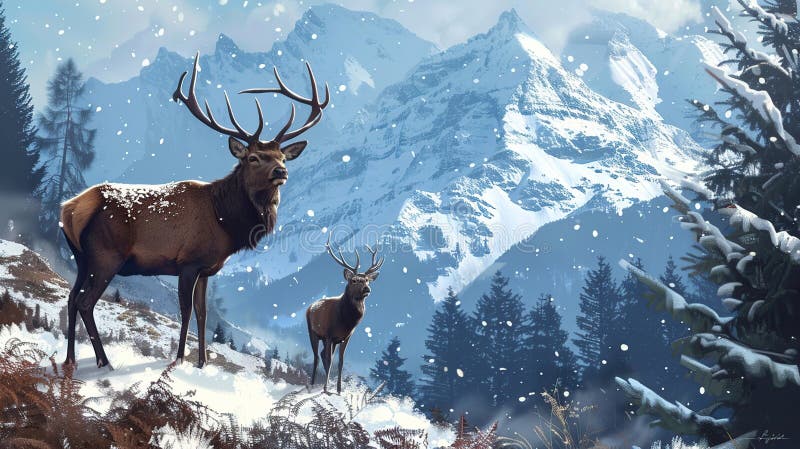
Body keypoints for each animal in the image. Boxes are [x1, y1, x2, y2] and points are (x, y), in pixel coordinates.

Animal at [59, 52, 329, 369]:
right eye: (253, 157)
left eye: (282, 156)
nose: (281, 171)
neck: (225, 220)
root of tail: (70, 209)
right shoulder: (187, 262)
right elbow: (185, 311)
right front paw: (178, 360)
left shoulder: (207, 269)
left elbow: (203, 314)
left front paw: (202, 363)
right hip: (106, 255)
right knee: (85, 301)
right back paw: (104, 361)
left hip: (81, 258)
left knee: (71, 297)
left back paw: (70, 360)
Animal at [306, 236, 384, 394]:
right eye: (354, 280)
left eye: (367, 280)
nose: (367, 289)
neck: (345, 321)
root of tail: (310, 307)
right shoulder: (329, 334)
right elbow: (330, 360)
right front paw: (326, 388)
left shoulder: (345, 337)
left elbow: (340, 362)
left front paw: (339, 389)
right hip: (313, 332)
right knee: (317, 356)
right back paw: (312, 383)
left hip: (327, 339)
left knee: (322, 354)